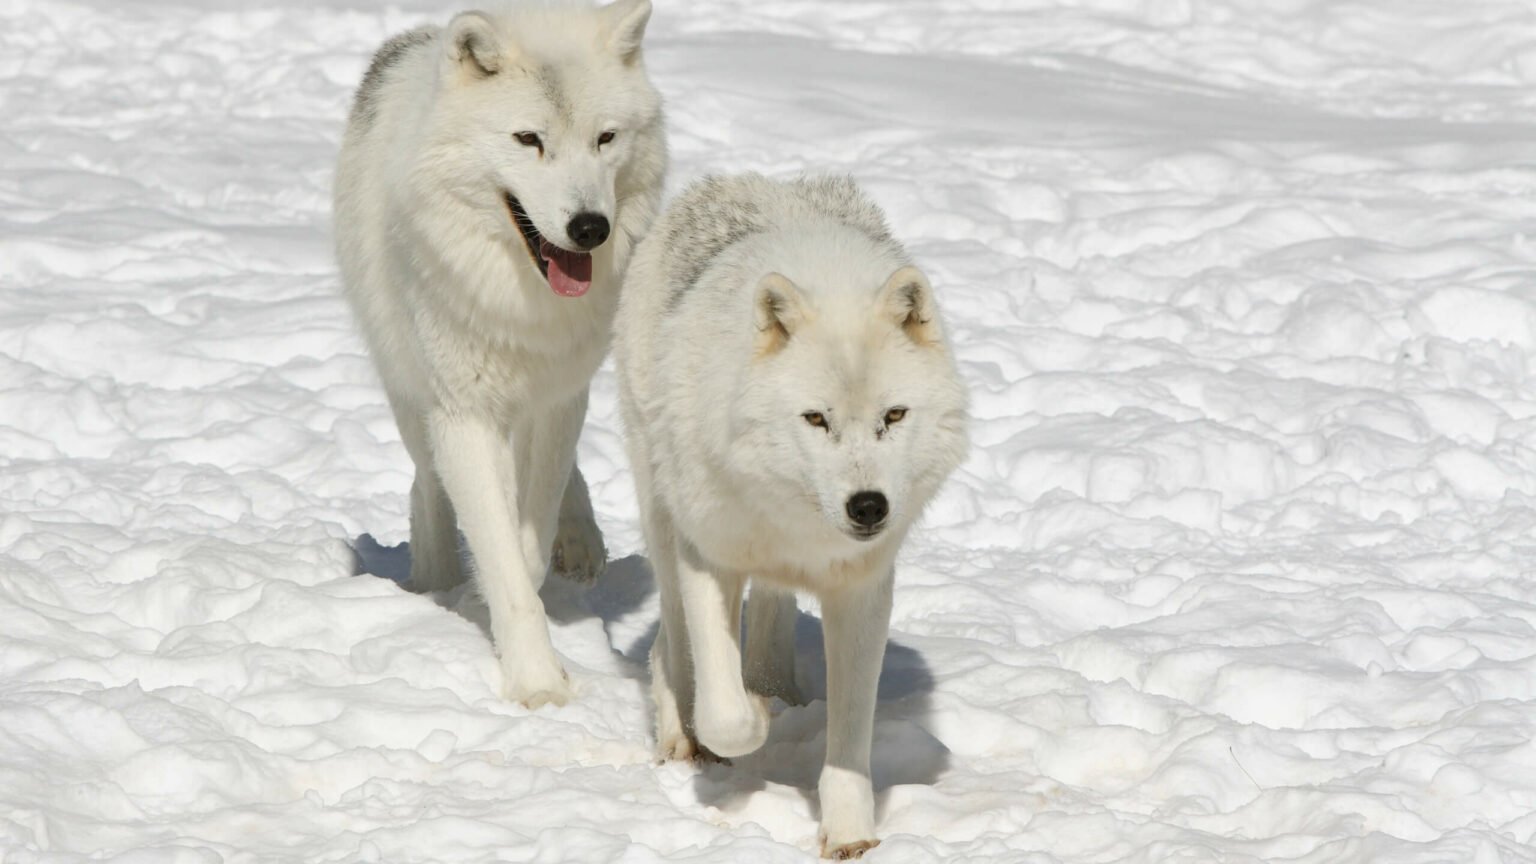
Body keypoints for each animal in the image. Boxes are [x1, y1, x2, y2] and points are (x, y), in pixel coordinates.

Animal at [333, 0, 666, 708]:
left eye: (605, 139)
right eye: (527, 140)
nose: (590, 228)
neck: (523, 305)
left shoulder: (559, 397)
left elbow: (526, 542)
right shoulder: (463, 415)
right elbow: (499, 550)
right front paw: (536, 683)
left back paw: (580, 543)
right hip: (408, 385)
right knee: (426, 480)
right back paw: (434, 577)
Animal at [615, 174, 969, 857]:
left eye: (893, 416)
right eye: (815, 419)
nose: (868, 506)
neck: (802, 530)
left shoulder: (862, 589)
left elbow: (851, 736)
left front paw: (850, 833)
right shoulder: (710, 558)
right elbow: (725, 712)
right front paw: (749, 721)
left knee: (770, 616)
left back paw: (777, 691)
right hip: (664, 523)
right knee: (671, 648)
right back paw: (685, 736)